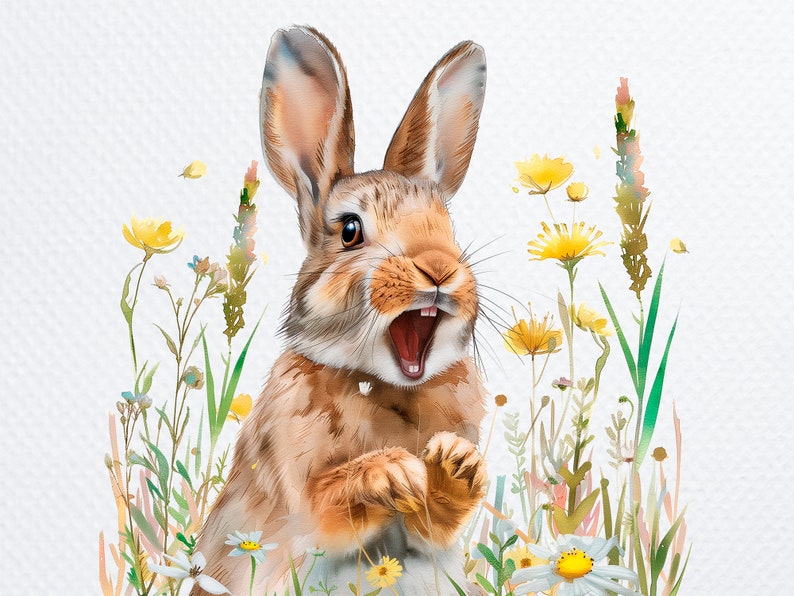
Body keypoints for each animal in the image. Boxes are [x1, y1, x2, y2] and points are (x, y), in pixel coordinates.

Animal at [192, 26, 488, 595]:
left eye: (449, 228)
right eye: (350, 230)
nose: (439, 270)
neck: (387, 386)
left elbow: (433, 526)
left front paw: (455, 464)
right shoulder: (298, 492)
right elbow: (325, 504)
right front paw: (389, 471)